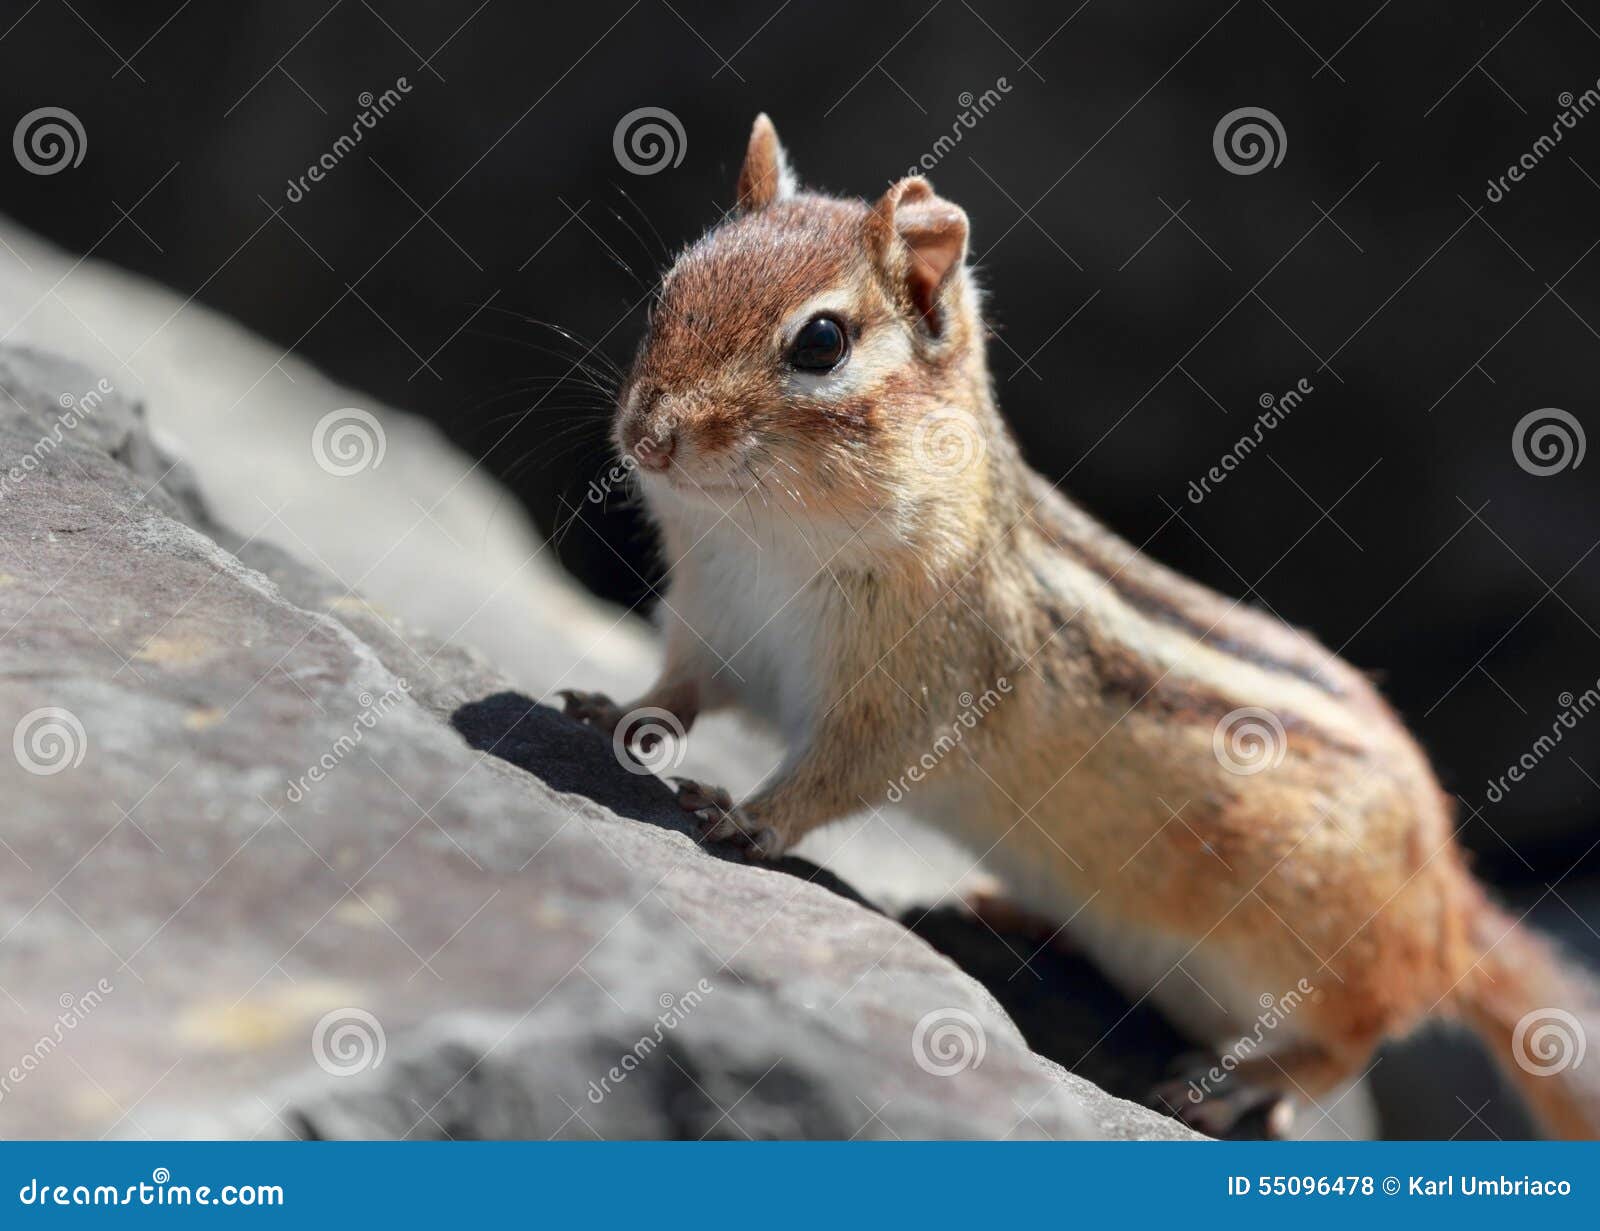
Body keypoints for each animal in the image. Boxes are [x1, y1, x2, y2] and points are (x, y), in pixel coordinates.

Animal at [559, 114, 1600, 1139]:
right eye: (670, 286)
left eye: (821, 343)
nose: (647, 436)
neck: (763, 542)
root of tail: (1451, 904)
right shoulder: (714, 624)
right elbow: (678, 689)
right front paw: (608, 709)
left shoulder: (917, 686)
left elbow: (841, 771)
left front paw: (747, 812)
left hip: (1326, 965)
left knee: (1354, 1039)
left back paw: (1246, 1083)